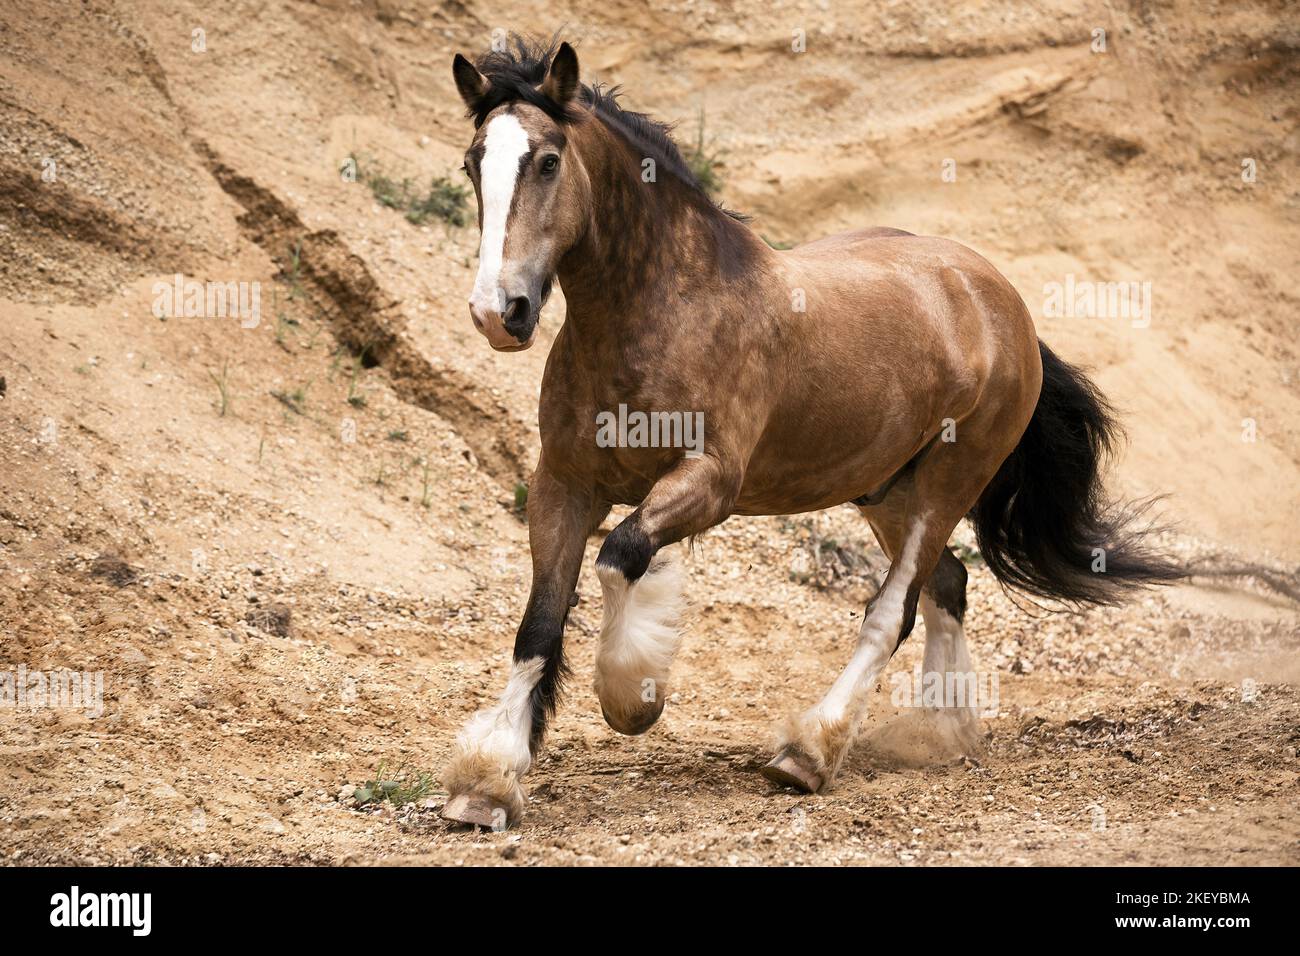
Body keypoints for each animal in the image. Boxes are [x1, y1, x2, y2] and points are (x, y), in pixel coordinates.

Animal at [439, 38, 1180, 828]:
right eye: (473, 163)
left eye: (547, 160)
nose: (499, 312)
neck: (663, 310)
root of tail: (997, 296)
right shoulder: (564, 485)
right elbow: (540, 625)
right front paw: (485, 784)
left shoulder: (709, 483)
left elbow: (622, 557)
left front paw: (631, 696)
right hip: (887, 491)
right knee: (948, 584)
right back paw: (943, 734)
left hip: (951, 481)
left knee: (894, 610)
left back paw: (809, 752)